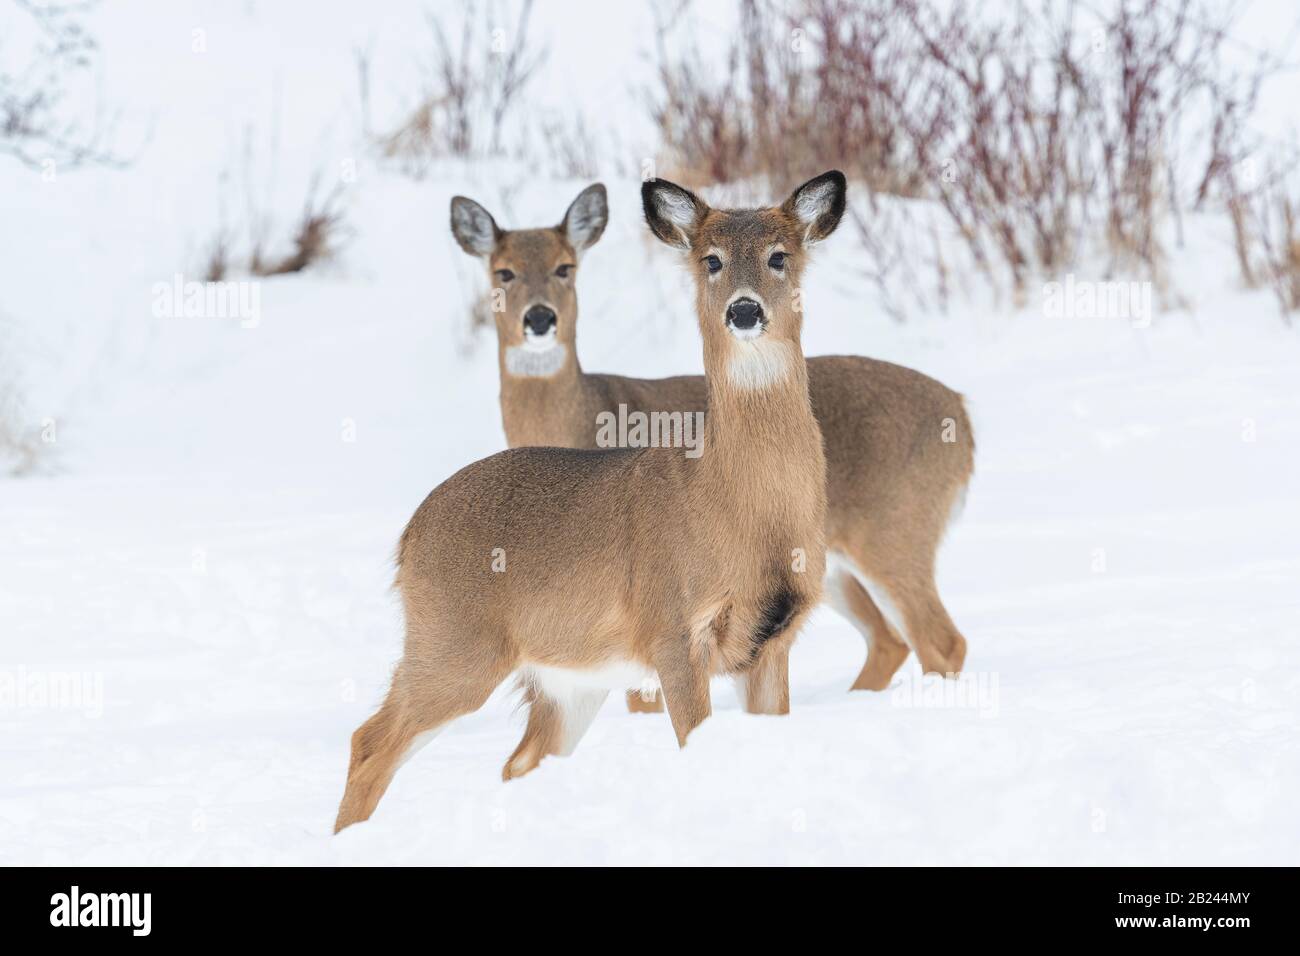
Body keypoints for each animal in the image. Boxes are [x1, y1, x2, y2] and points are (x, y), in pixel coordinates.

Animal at [334, 173, 843, 832]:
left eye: (780, 256)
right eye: (711, 260)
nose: (745, 310)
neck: (742, 511)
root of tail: (409, 535)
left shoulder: (773, 639)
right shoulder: (673, 628)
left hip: (566, 679)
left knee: (517, 760)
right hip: (452, 642)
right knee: (369, 741)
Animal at [450, 181, 974, 716]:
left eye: (564, 267)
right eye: (503, 271)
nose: (539, 319)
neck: (584, 414)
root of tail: (961, 413)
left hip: (896, 529)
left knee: (940, 640)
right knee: (891, 640)